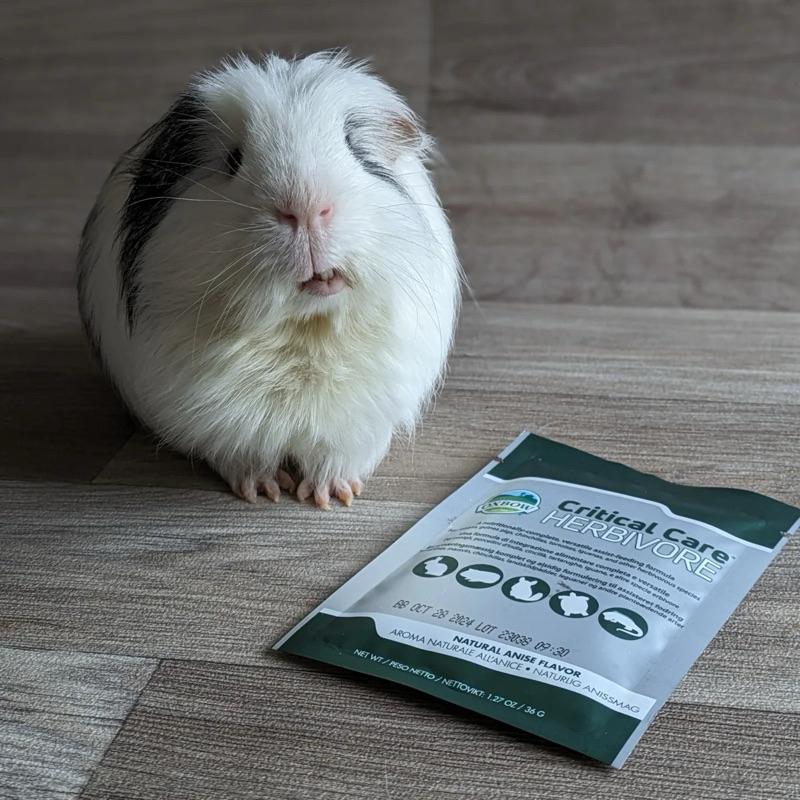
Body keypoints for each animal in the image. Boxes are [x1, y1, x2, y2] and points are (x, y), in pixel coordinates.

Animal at [77, 50, 461, 509]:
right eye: (233, 159)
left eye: (352, 148)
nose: (305, 207)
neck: (305, 330)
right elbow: (237, 452)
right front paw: (266, 490)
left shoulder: (372, 414)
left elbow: (343, 454)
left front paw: (328, 495)